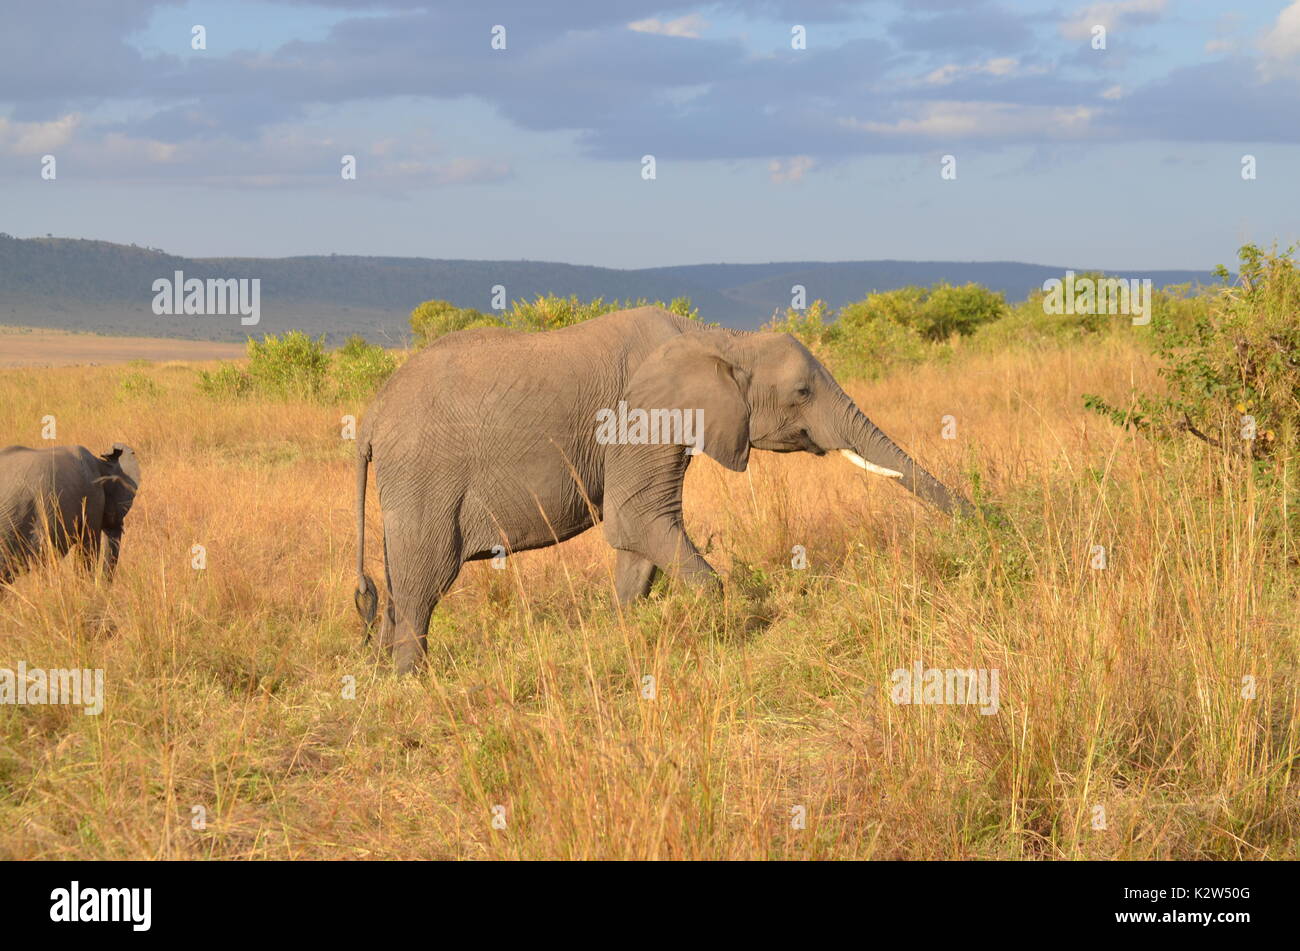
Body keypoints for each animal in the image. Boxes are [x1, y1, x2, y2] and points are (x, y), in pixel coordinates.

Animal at [354, 306, 971, 672]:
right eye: (801, 392)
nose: (984, 522)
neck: (719, 337)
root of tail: (371, 415)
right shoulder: (643, 416)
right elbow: (636, 519)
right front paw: (718, 632)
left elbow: (637, 543)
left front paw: (626, 639)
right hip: (424, 475)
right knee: (423, 580)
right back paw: (414, 684)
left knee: (398, 582)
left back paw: (384, 674)